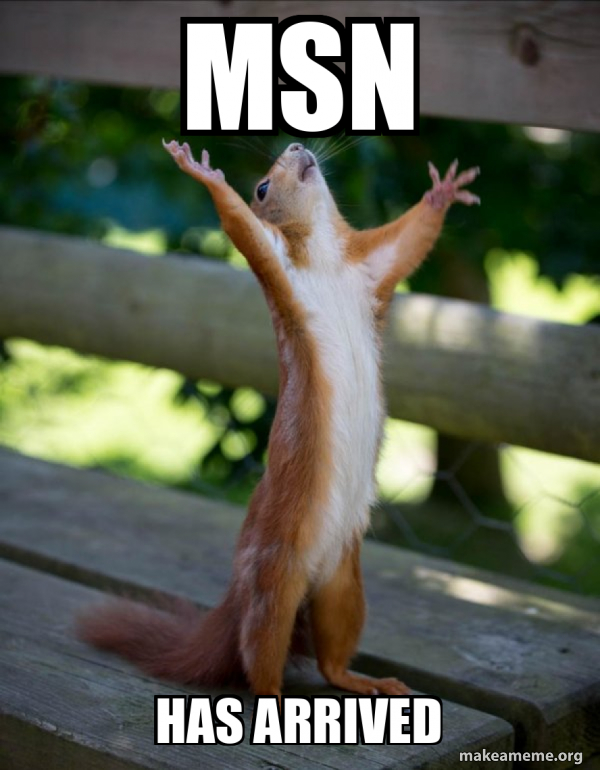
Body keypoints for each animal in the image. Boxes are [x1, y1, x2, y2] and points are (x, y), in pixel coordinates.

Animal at [78, 139, 480, 700]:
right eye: (262, 187)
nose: (295, 145)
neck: (327, 258)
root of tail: (238, 594)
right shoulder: (277, 264)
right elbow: (240, 226)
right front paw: (204, 173)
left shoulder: (372, 267)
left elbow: (410, 239)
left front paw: (442, 192)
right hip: (273, 583)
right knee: (259, 660)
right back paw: (278, 697)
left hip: (344, 586)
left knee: (332, 657)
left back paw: (366, 680)